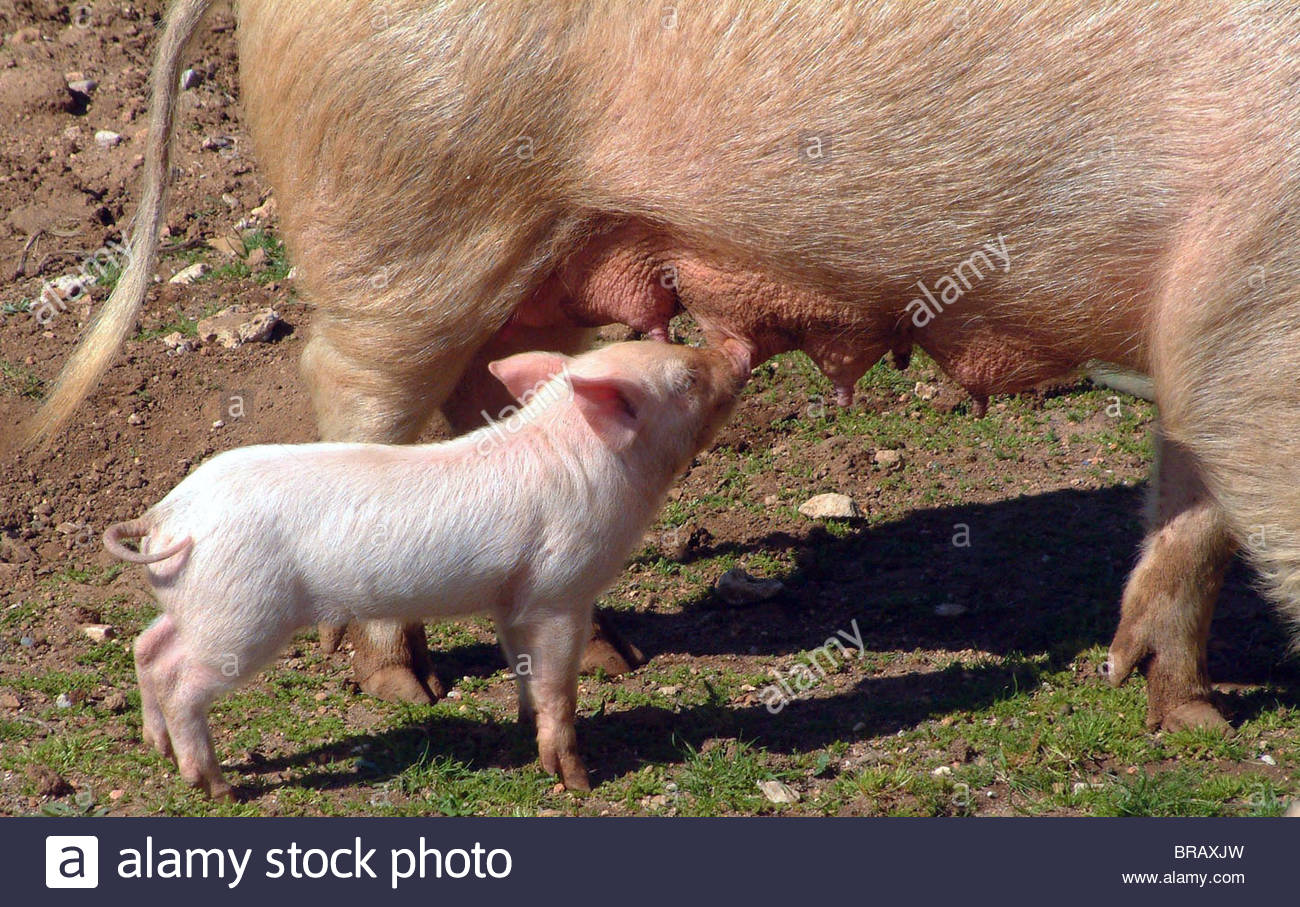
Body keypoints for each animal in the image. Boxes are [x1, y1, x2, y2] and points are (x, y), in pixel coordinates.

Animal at [27, 1, 1300, 733]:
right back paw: (404, 684)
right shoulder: (1257, 303)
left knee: (502, 401)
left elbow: (1194, 507)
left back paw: (610, 653)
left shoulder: (1209, 320)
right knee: (364, 392)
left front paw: (1191, 720)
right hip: (407, 207)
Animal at [103, 340, 749, 799]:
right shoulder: (559, 590)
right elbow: (558, 684)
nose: (739, 349)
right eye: (688, 379)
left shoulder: (512, 596)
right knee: (182, 681)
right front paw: (578, 781)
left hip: (194, 602)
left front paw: (521, 728)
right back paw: (217, 788)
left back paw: (158, 749)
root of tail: (166, 512)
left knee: (147, 646)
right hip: (241, 614)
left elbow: (522, 667)